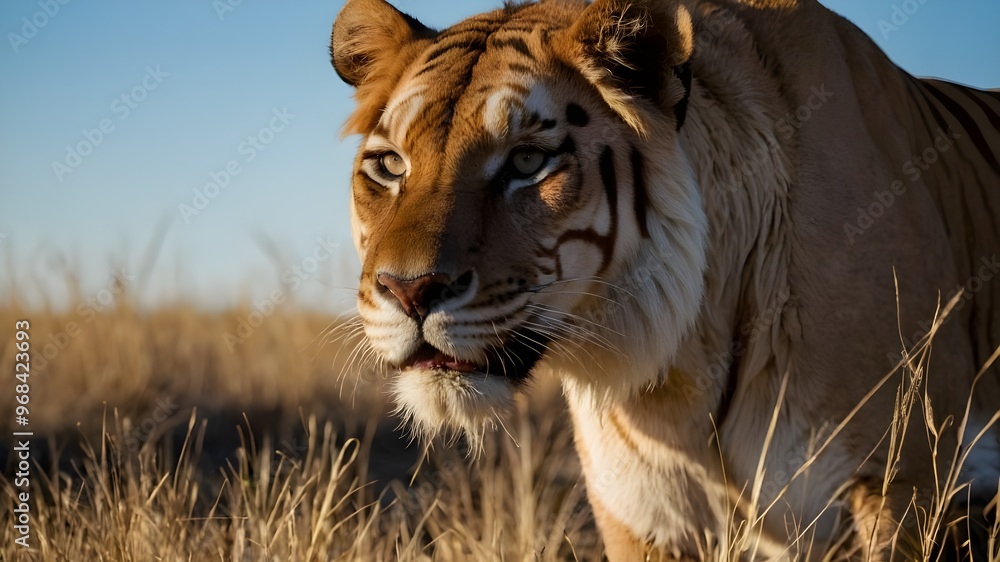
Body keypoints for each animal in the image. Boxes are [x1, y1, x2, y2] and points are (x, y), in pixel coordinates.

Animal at [330, 0, 1000, 559]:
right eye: (390, 165)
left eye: (526, 160)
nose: (407, 291)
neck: (682, 367)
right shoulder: (639, 515)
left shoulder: (898, 484)